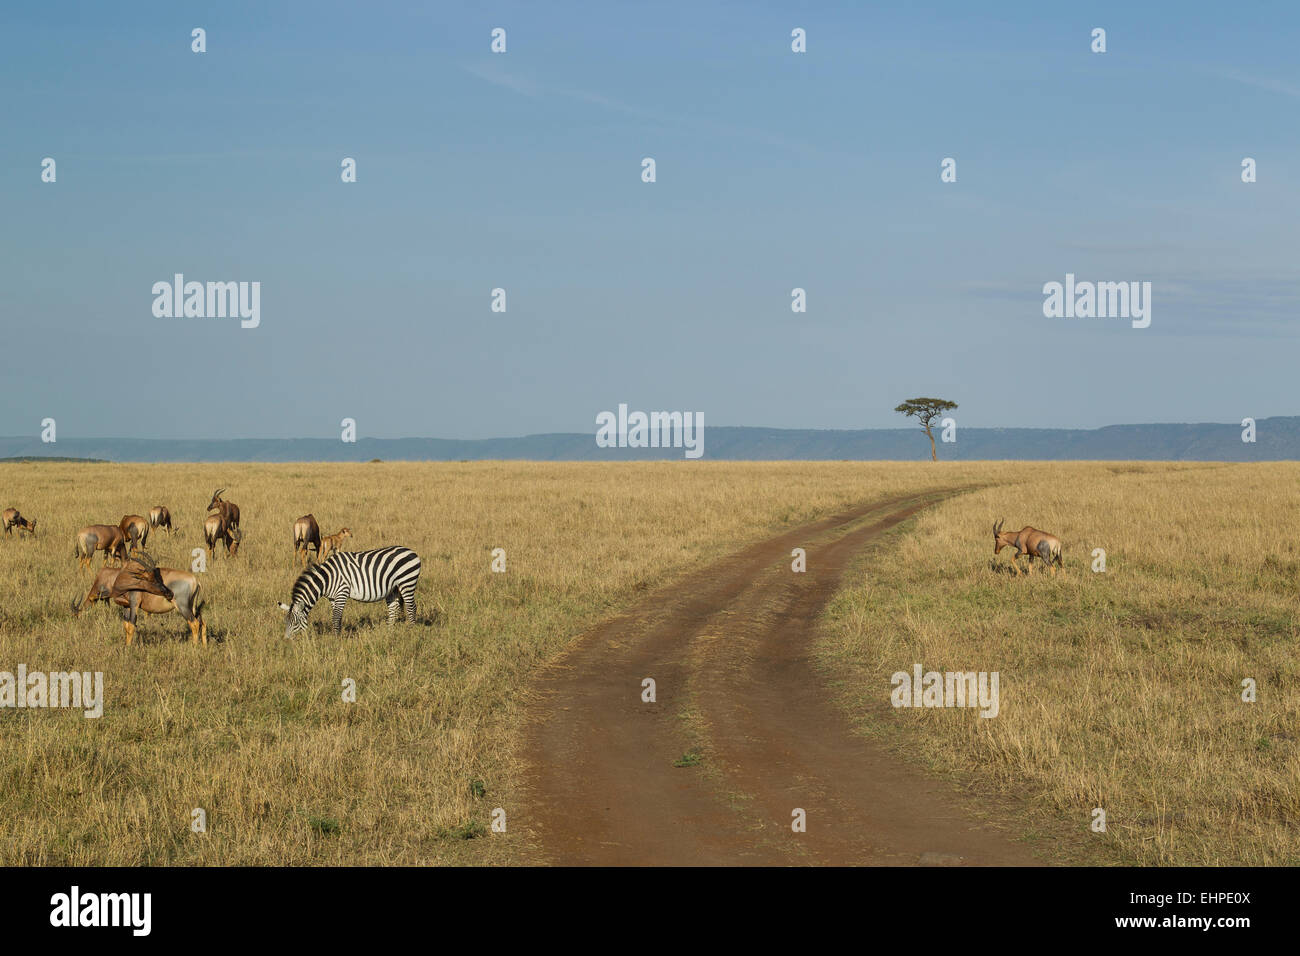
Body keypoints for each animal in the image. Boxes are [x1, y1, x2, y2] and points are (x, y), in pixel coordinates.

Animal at [278, 546, 421, 637]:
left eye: (295, 623)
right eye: (285, 622)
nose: (287, 641)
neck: (328, 579)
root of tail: (412, 551)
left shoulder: (342, 592)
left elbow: (335, 617)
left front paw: (336, 640)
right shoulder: (333, 598)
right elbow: (337, 617)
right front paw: (339, 635)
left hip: (407, 582)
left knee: (411, 607)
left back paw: (411, 631)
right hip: (393, 588)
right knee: (394, 609)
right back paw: (389, 633)